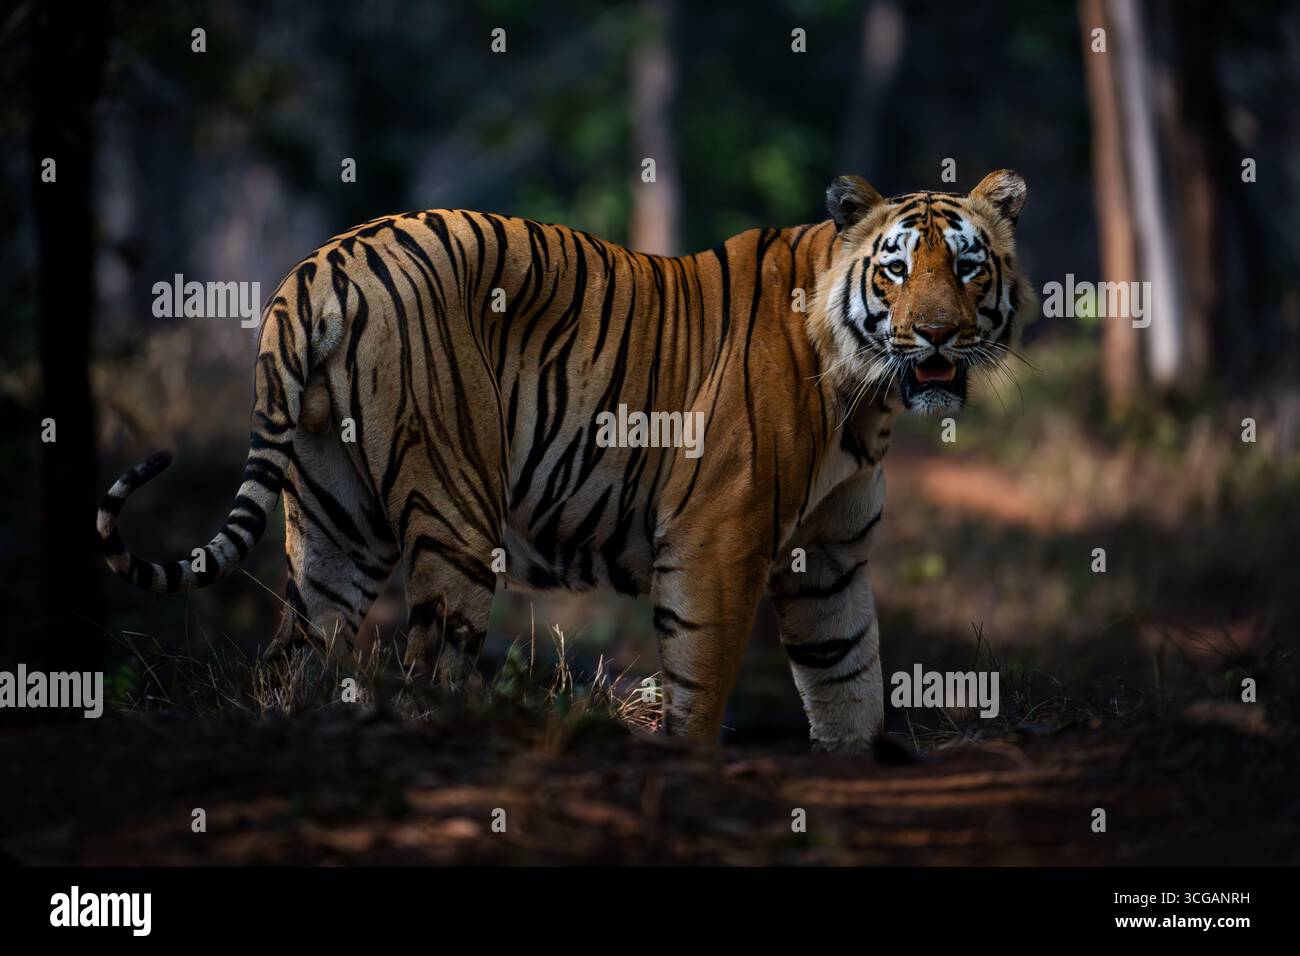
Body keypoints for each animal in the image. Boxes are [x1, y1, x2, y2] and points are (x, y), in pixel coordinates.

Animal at [97, 169, 1030, 751]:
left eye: (969, 268)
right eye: (897, 270)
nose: (937, 335)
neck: (866, 398)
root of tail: (320, 265)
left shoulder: (829, 561)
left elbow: (850, 683)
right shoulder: (716, 543)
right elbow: (702, 681)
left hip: (333, 521)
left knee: (294, 657)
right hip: (457, 514)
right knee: (426, 664)